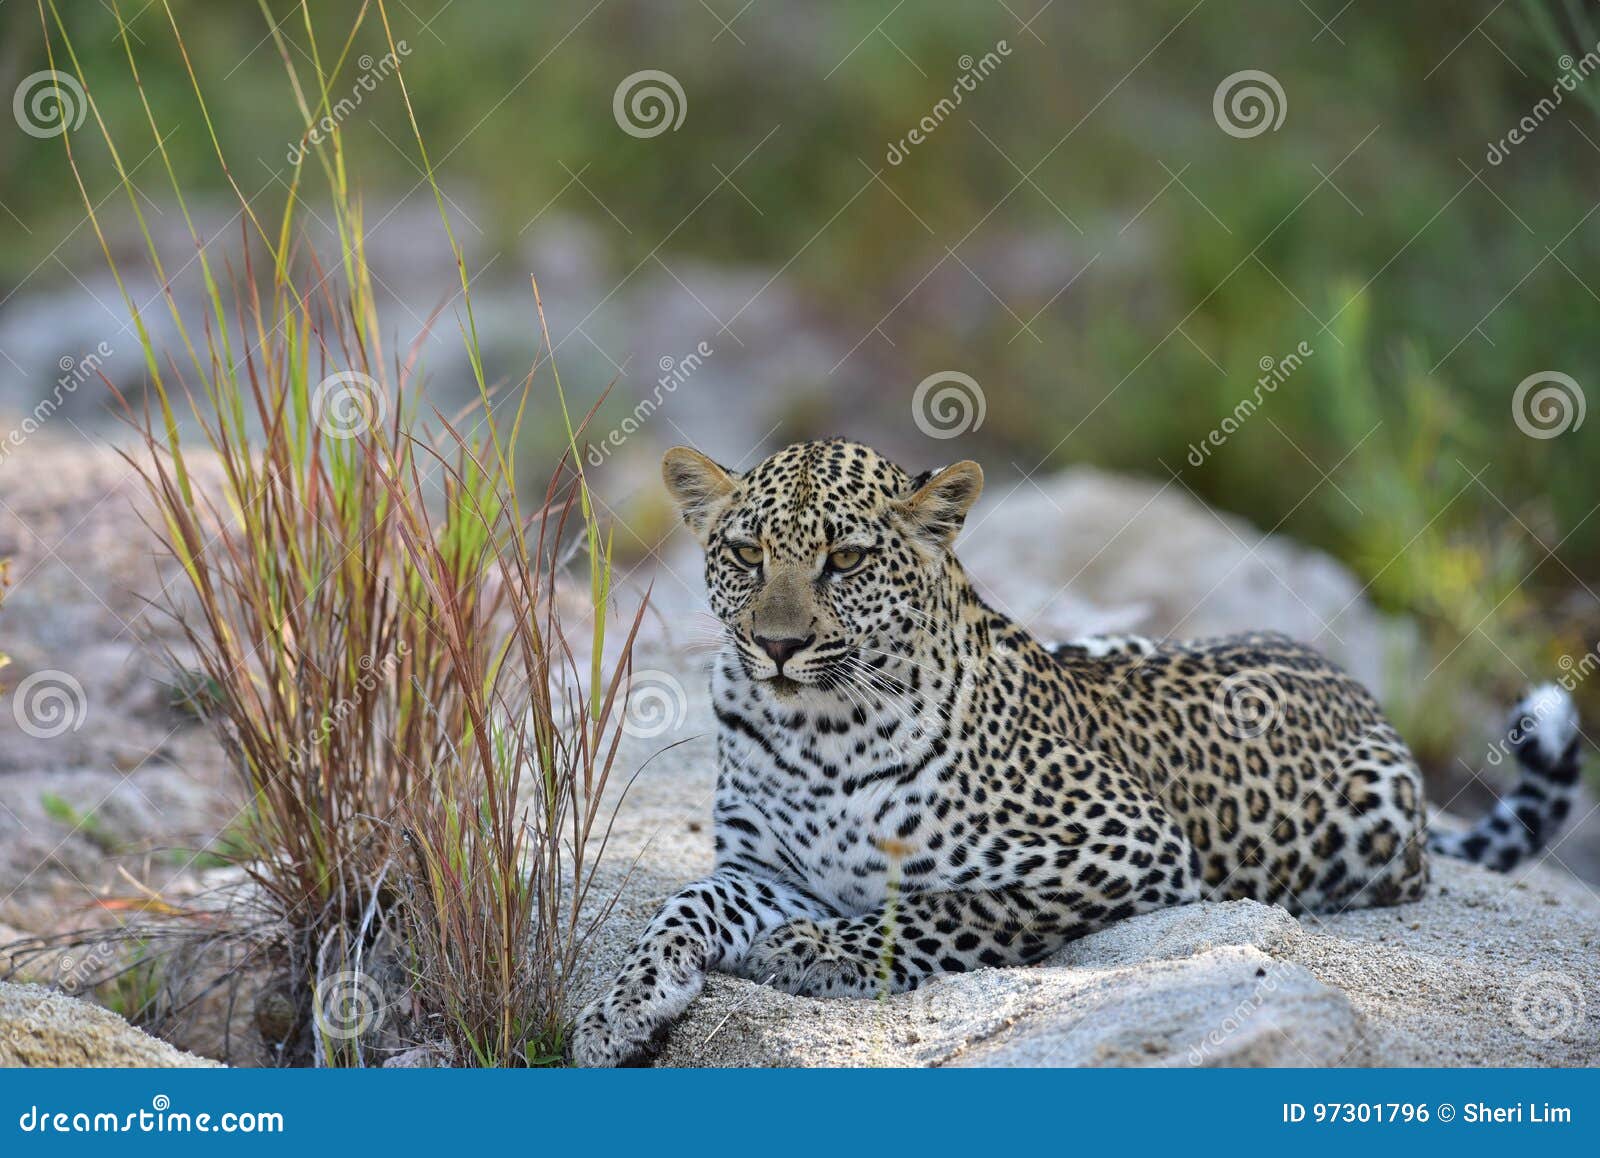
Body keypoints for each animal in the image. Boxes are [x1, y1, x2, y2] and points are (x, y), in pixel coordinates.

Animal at [571, 437, 1583, 1066]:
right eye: (745, 552)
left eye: (846, 561)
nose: (775, 647)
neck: (811, 731)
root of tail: (1346, 677)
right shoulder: (766, 868)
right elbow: (678, 906)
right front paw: (617, 1010)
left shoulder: (1130, 846)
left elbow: (947, 910)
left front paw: (810, 949)